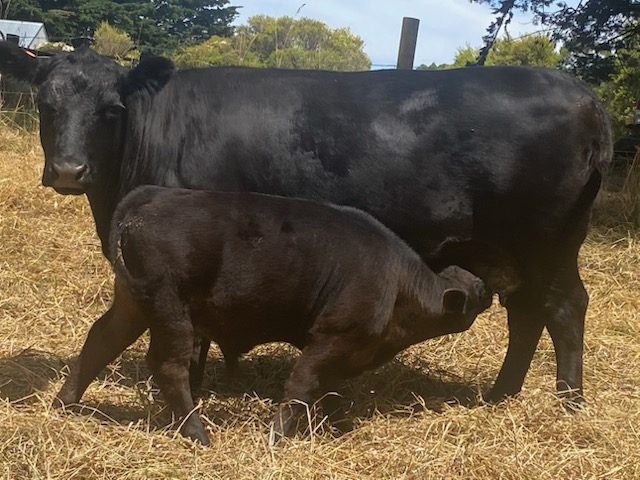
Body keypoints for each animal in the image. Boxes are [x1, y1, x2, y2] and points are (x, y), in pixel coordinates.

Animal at [0, 41, 612, 409]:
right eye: (46, 104)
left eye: (112, 110)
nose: (69, 171)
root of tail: (582, 93)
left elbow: (194, 334)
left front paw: (193, 389)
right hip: (515, 250)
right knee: (527, 311)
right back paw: (502, 394)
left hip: (547, 243)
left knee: (562, 307)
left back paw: (567, 400)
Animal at [54, 185, 492, 444]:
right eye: (477, 292)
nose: (490, 289)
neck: (398, 285)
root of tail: (157, 196)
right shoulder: (330, 337)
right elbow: (301, 387)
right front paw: (277, 436)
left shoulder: (343, 351)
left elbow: (331, 392)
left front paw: (336, 428)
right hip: (169, 310)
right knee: (168, 366)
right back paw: (197, 432)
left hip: (132, 304)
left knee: (100, 340)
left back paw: (65, 402)